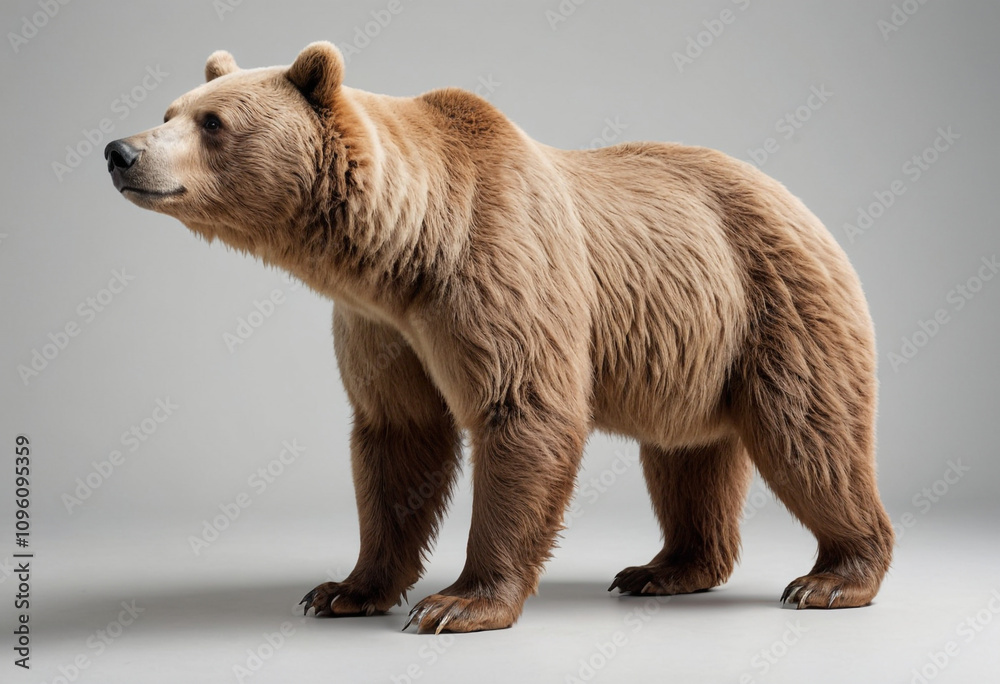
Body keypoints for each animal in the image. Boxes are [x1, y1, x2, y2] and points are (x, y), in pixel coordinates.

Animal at [104, 42, 894, 633]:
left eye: (212, 121)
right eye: (170, 109)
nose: (121, 150)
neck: (406, 250)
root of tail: (799, 204)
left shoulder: (497, 274)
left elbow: (523, 414)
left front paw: (458, 602)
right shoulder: (382, 329)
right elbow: (397, 440)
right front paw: (344, 588)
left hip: (777, 304)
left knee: (809, 436)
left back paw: (832, 577)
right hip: (693, 343)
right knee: (686, 455)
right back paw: (664, 569)